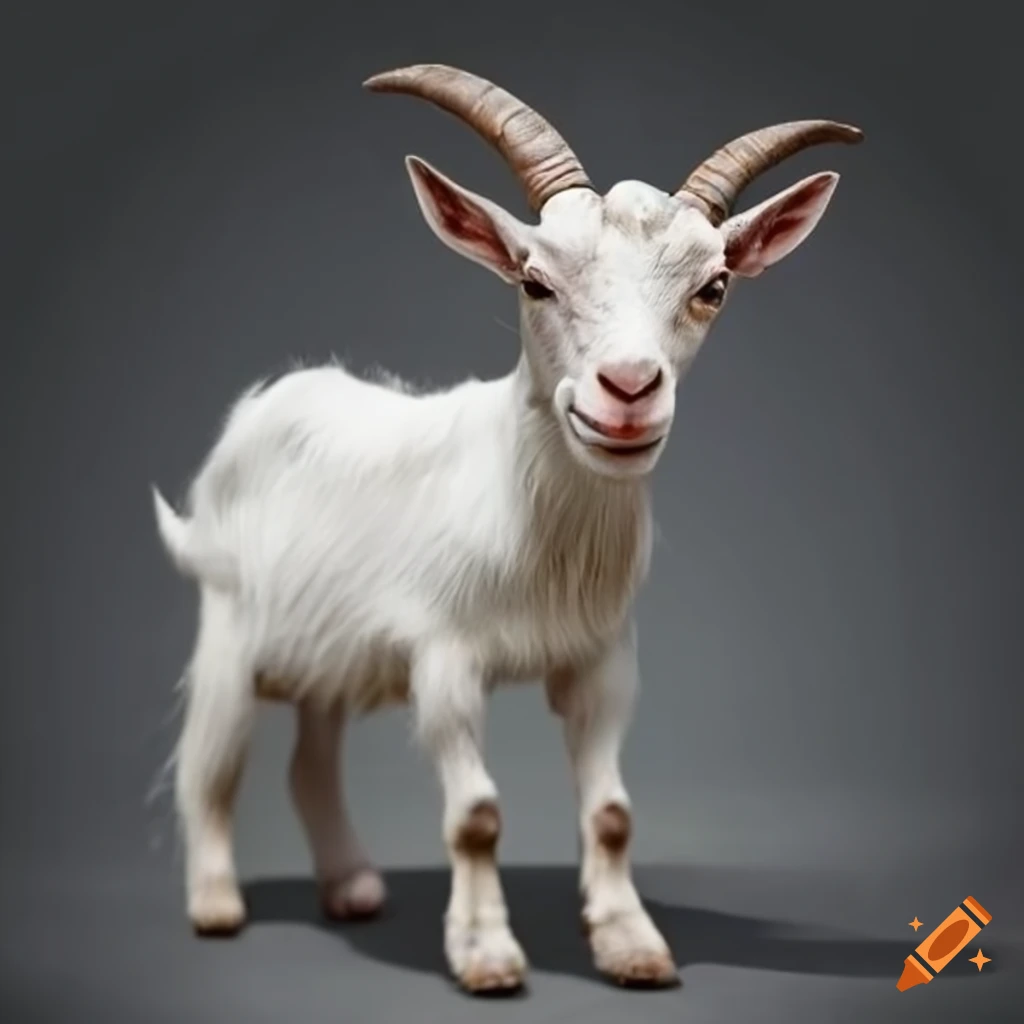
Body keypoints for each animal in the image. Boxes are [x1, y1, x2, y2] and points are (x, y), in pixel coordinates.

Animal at [152, 63, 862, 993]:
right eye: (534, 280)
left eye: (712, 287)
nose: (627, 390)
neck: (533, 531)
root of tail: (275, 399)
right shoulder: (443, 659)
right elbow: (478, 814)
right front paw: (486, 954)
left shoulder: (602, 661)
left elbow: (612, 813)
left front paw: (632, 946)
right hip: (230, 623)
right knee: (211, 762)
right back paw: (213, 904)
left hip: (332, 658)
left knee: (311, 764)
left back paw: (351, 888)